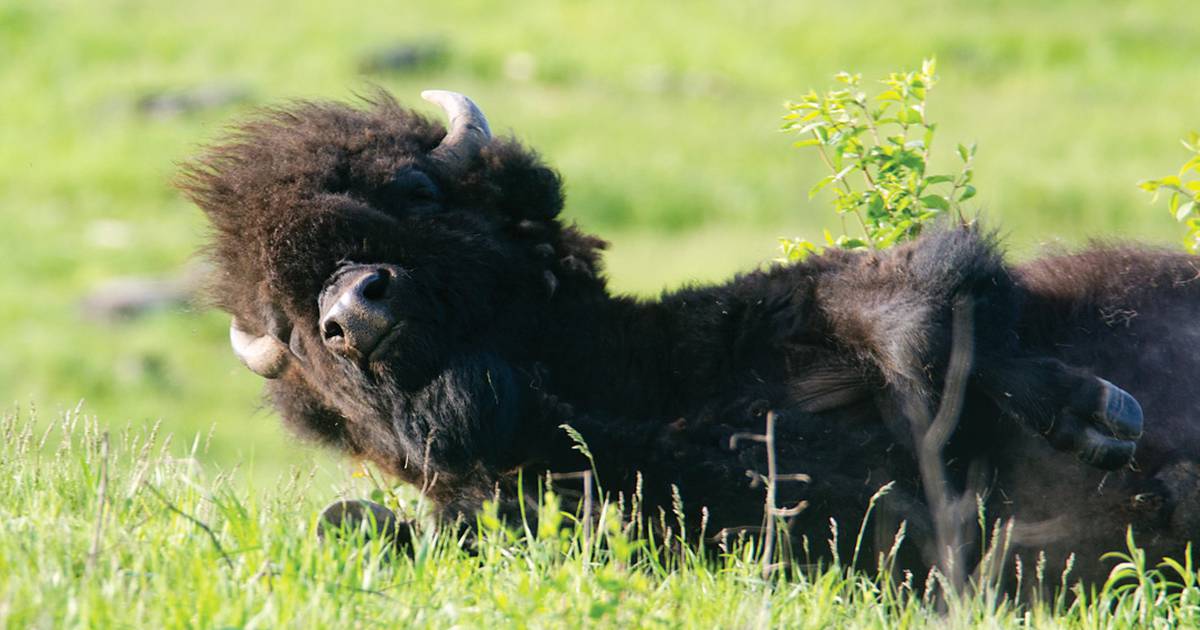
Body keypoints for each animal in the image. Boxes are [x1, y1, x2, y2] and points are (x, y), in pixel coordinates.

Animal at [181, 90, 1200, 590]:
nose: (356, 310)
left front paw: (1101, 419)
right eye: (290, 321)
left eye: (414, 191)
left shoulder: (783, 317)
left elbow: (911, 311)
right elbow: (353, 521)